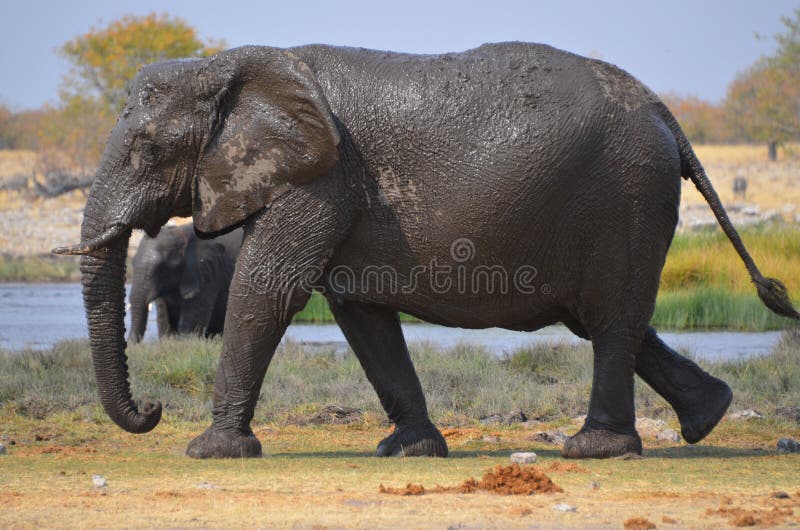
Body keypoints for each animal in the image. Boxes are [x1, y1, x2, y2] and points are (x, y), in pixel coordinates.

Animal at [54, 42, 799, 460]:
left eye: (146, 149)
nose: (152, 408)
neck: (226, 66)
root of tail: (661, 108)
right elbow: (359, 313)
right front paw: (407, 451)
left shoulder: (320, 177)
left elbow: (269, 290)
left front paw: (210, 452)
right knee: (604, 317)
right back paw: (709, 416)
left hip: (628, 194)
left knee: (612, 320)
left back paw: (596, 451)